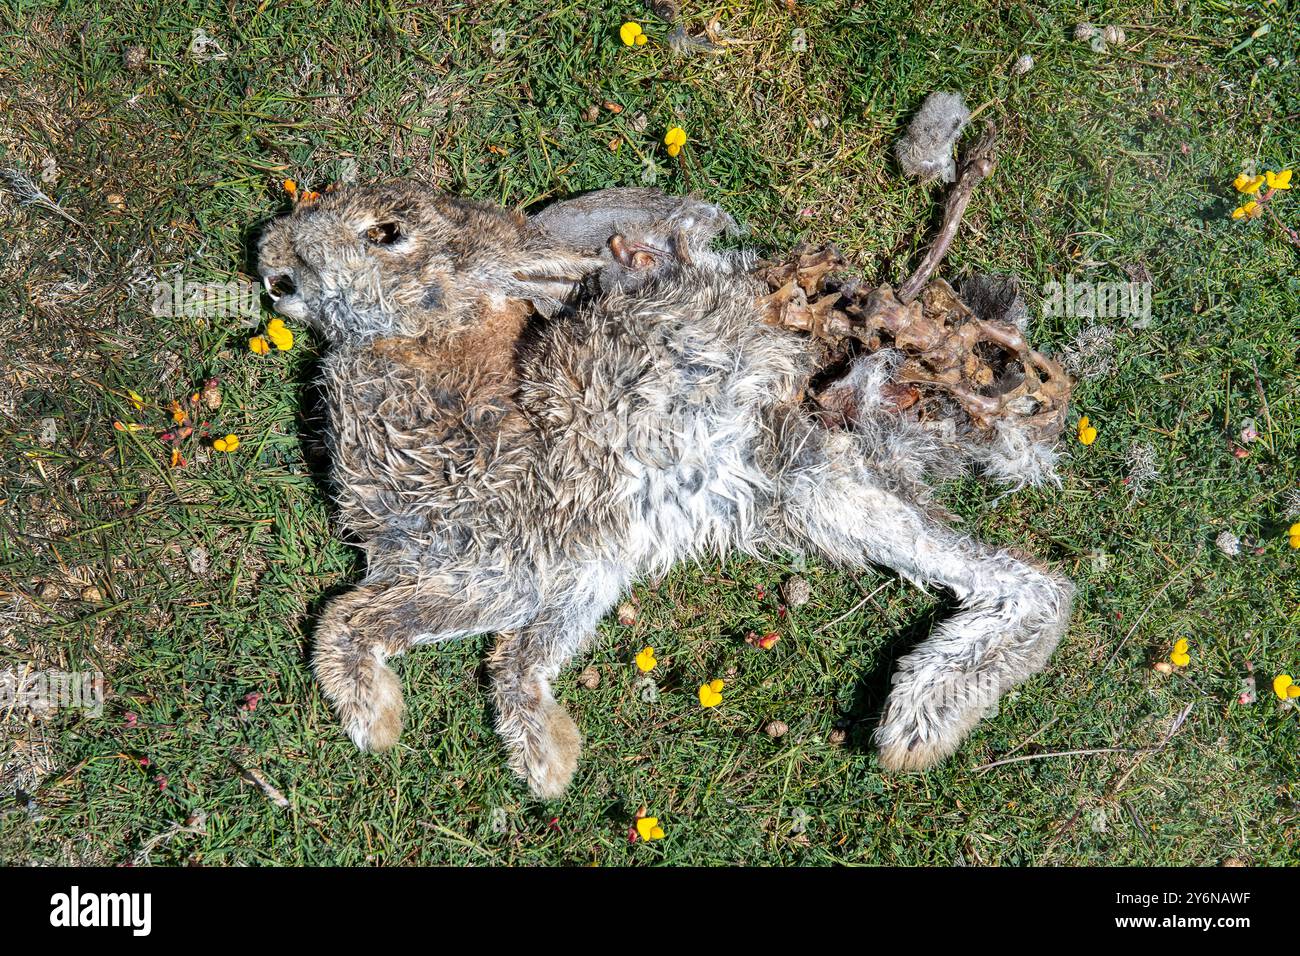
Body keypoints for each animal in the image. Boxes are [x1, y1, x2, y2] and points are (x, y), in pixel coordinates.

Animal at [257, 181, 1074, 798]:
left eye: (386, 233)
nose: (269, 254)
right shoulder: (535, 577)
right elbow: (489, 654)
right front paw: (547, 761)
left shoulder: (513, 561)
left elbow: (366, 625)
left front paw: (386, 729)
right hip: (817, 490)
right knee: (1027, 580)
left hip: (819, 471)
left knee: (1041, 583)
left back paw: (914, 722)